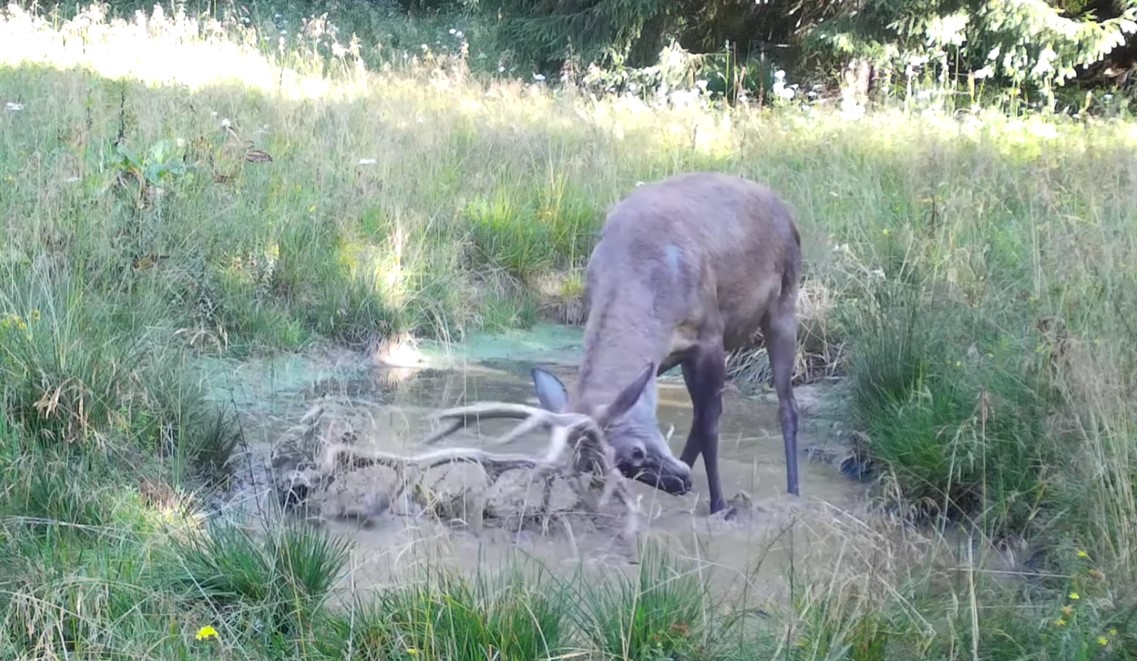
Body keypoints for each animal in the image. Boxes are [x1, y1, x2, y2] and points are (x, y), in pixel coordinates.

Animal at [528, 171, 803, 516]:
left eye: (634, 454)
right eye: (589, 466)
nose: (679, 482)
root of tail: (789, 215)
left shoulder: (710, 335)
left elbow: (711, 424)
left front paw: (719, 506)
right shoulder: (667, 358)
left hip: (785, 300)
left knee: (786, 405)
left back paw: (793, 492)